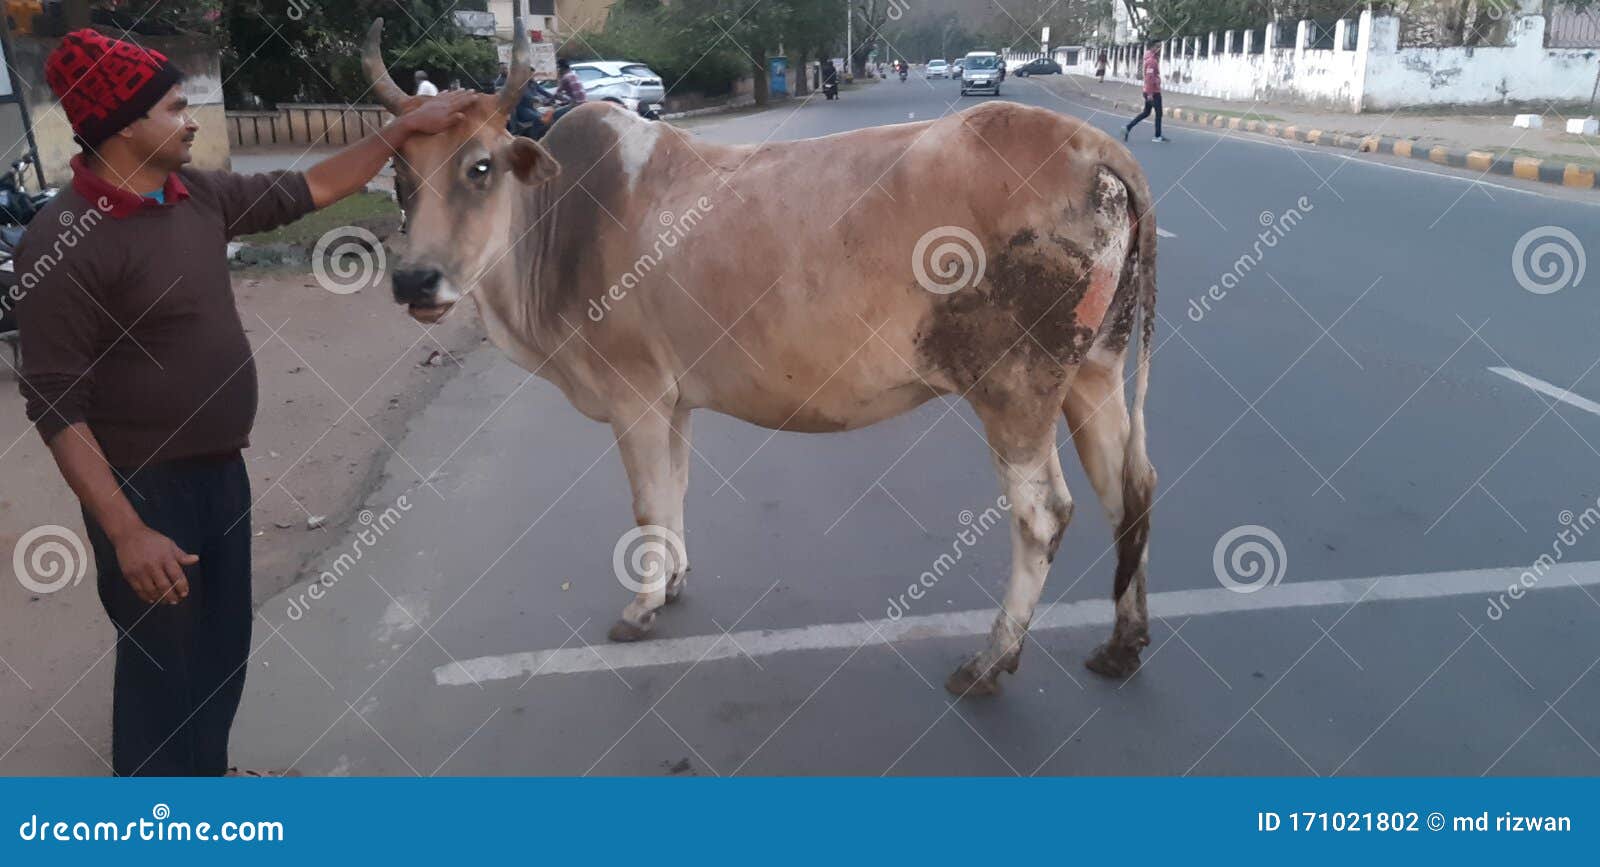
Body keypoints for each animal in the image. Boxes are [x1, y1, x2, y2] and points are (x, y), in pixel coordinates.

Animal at [363, 19, 1158, 696]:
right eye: (401, 175)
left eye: (481, 167)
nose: (414, 281)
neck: (555, 225)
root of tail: (1092, 145)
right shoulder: (672, 400)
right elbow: (674, 493)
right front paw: (671, 581)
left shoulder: (633, 395)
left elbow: (647, 501)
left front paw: (640, 608)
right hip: (1095, 371)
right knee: (1130, 491)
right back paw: (1122, 645)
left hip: (1015, 390)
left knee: (1045, 516)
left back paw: (992, 661)